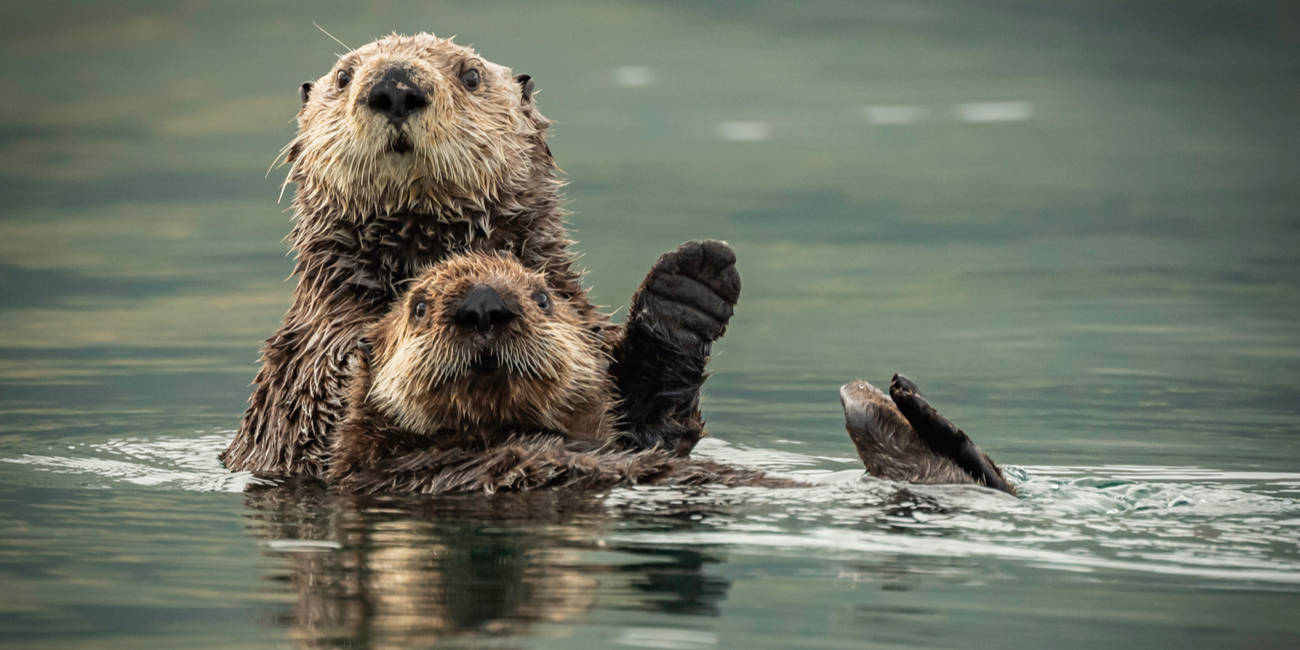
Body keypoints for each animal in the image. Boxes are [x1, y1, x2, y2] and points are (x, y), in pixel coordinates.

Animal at [223, 33, 737, 477]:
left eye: (470, 75)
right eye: (344, 76)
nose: (395, 87)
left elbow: (649, 427)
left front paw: (688, 288)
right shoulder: (307, 362)